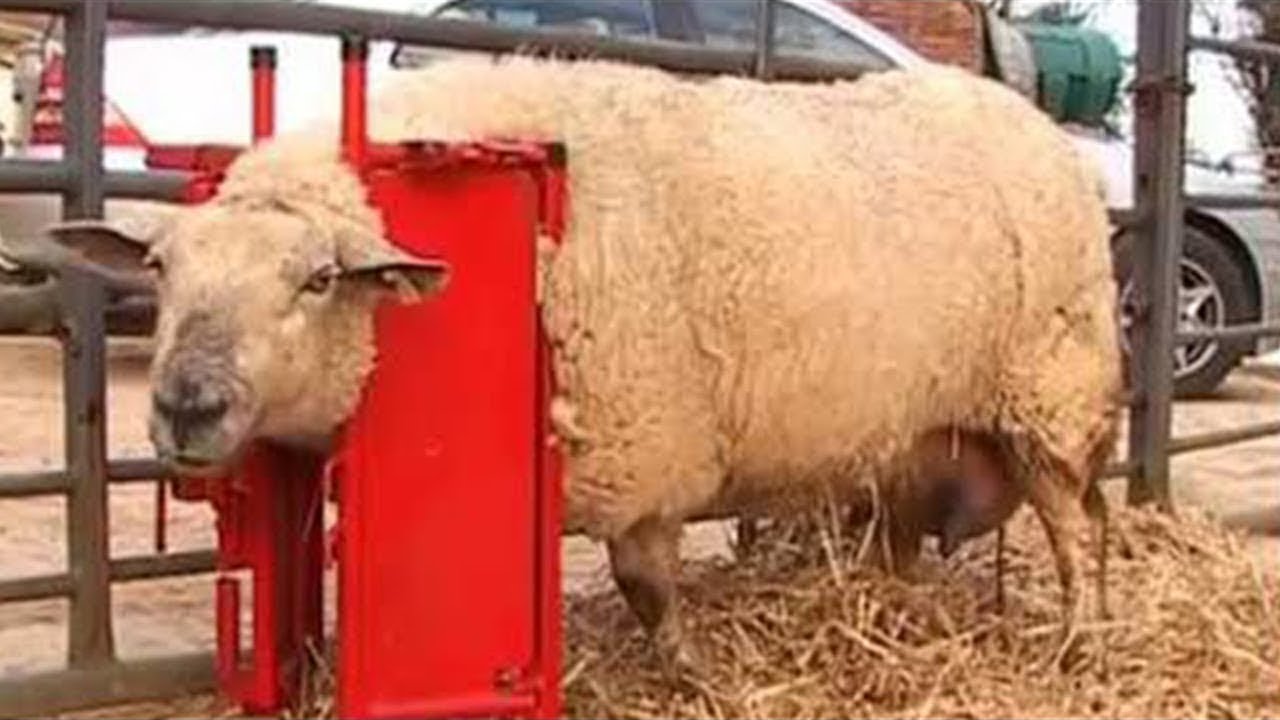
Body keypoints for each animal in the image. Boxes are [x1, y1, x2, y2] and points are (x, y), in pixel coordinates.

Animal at [39, 56, 1123, 679]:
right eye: (162, 270)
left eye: (316, 279)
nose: (186, 404)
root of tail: (1036, 121)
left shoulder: (646, 449)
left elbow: (646, 584)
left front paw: (690, 674)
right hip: (914, 425)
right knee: (907, 531)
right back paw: (893, 612)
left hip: (1049, 397)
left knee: (1078, 529)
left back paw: (1080, 642)